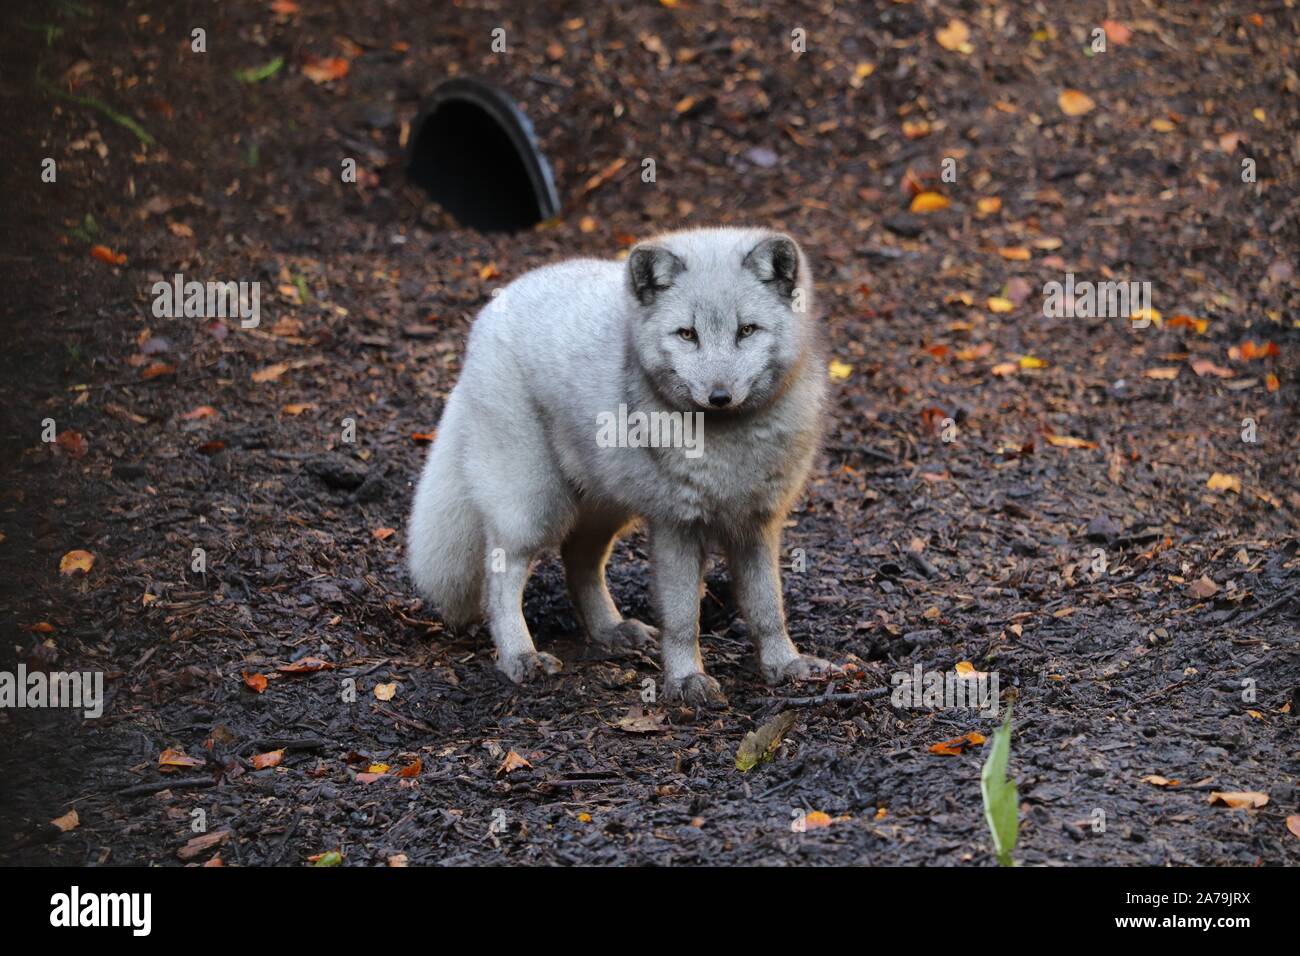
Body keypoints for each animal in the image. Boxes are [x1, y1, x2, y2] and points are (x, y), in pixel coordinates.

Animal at [407, 227, 834, 707]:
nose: (719, 396)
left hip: (606, 505)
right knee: (500, 575)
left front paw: (784, 664)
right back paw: (520, 655)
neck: (728, 447)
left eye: (747, 330)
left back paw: (610, 629)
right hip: (534, 506)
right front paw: (686, 679)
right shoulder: (676, 525)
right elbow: (683, 617)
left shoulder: (758, 524)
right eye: (687, 334)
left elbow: (767, 608)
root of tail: (490, 311)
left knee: (579, 561)